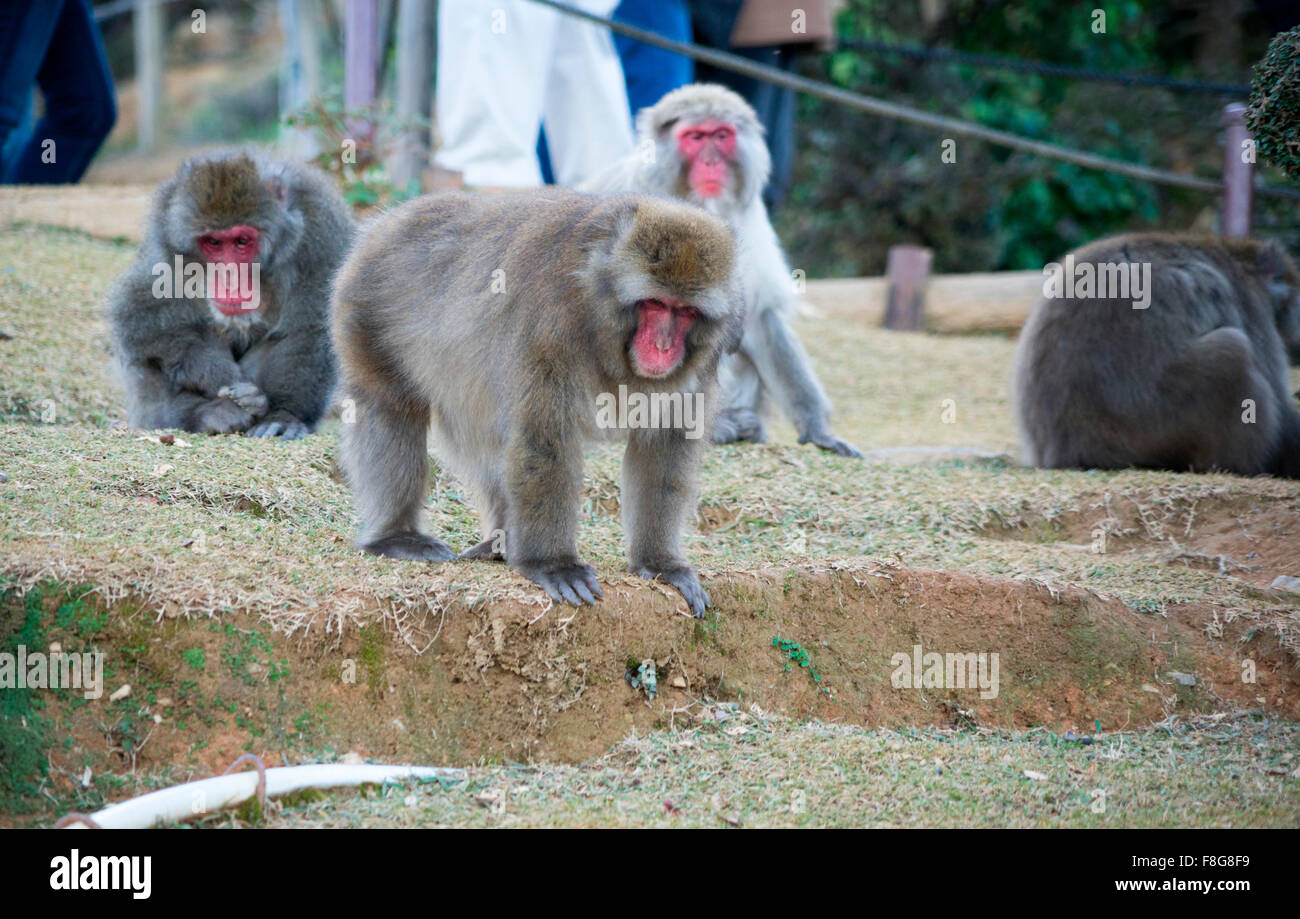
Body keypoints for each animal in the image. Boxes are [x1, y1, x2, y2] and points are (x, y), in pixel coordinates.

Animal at [108, 150, 353, 439]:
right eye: (214, 242)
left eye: (242, 242)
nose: (229, 279)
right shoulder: (164, 241)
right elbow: (140, 314)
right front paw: (224, 380)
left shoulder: (322, 233)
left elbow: (310, 328)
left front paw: (284, 415)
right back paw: (206, 415)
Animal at [331, 188, 742, 615]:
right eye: (655, 305)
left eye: (686, 311)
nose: (663, 347)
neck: (596, 298)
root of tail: (390, 217)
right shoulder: (551, 326)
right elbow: (544, 439)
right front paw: (554, 564)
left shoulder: (704, 358)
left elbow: (664, 448)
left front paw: (660, 563)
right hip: (365, 306)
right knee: (390, 406)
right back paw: (395, 536)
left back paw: (501, 543)